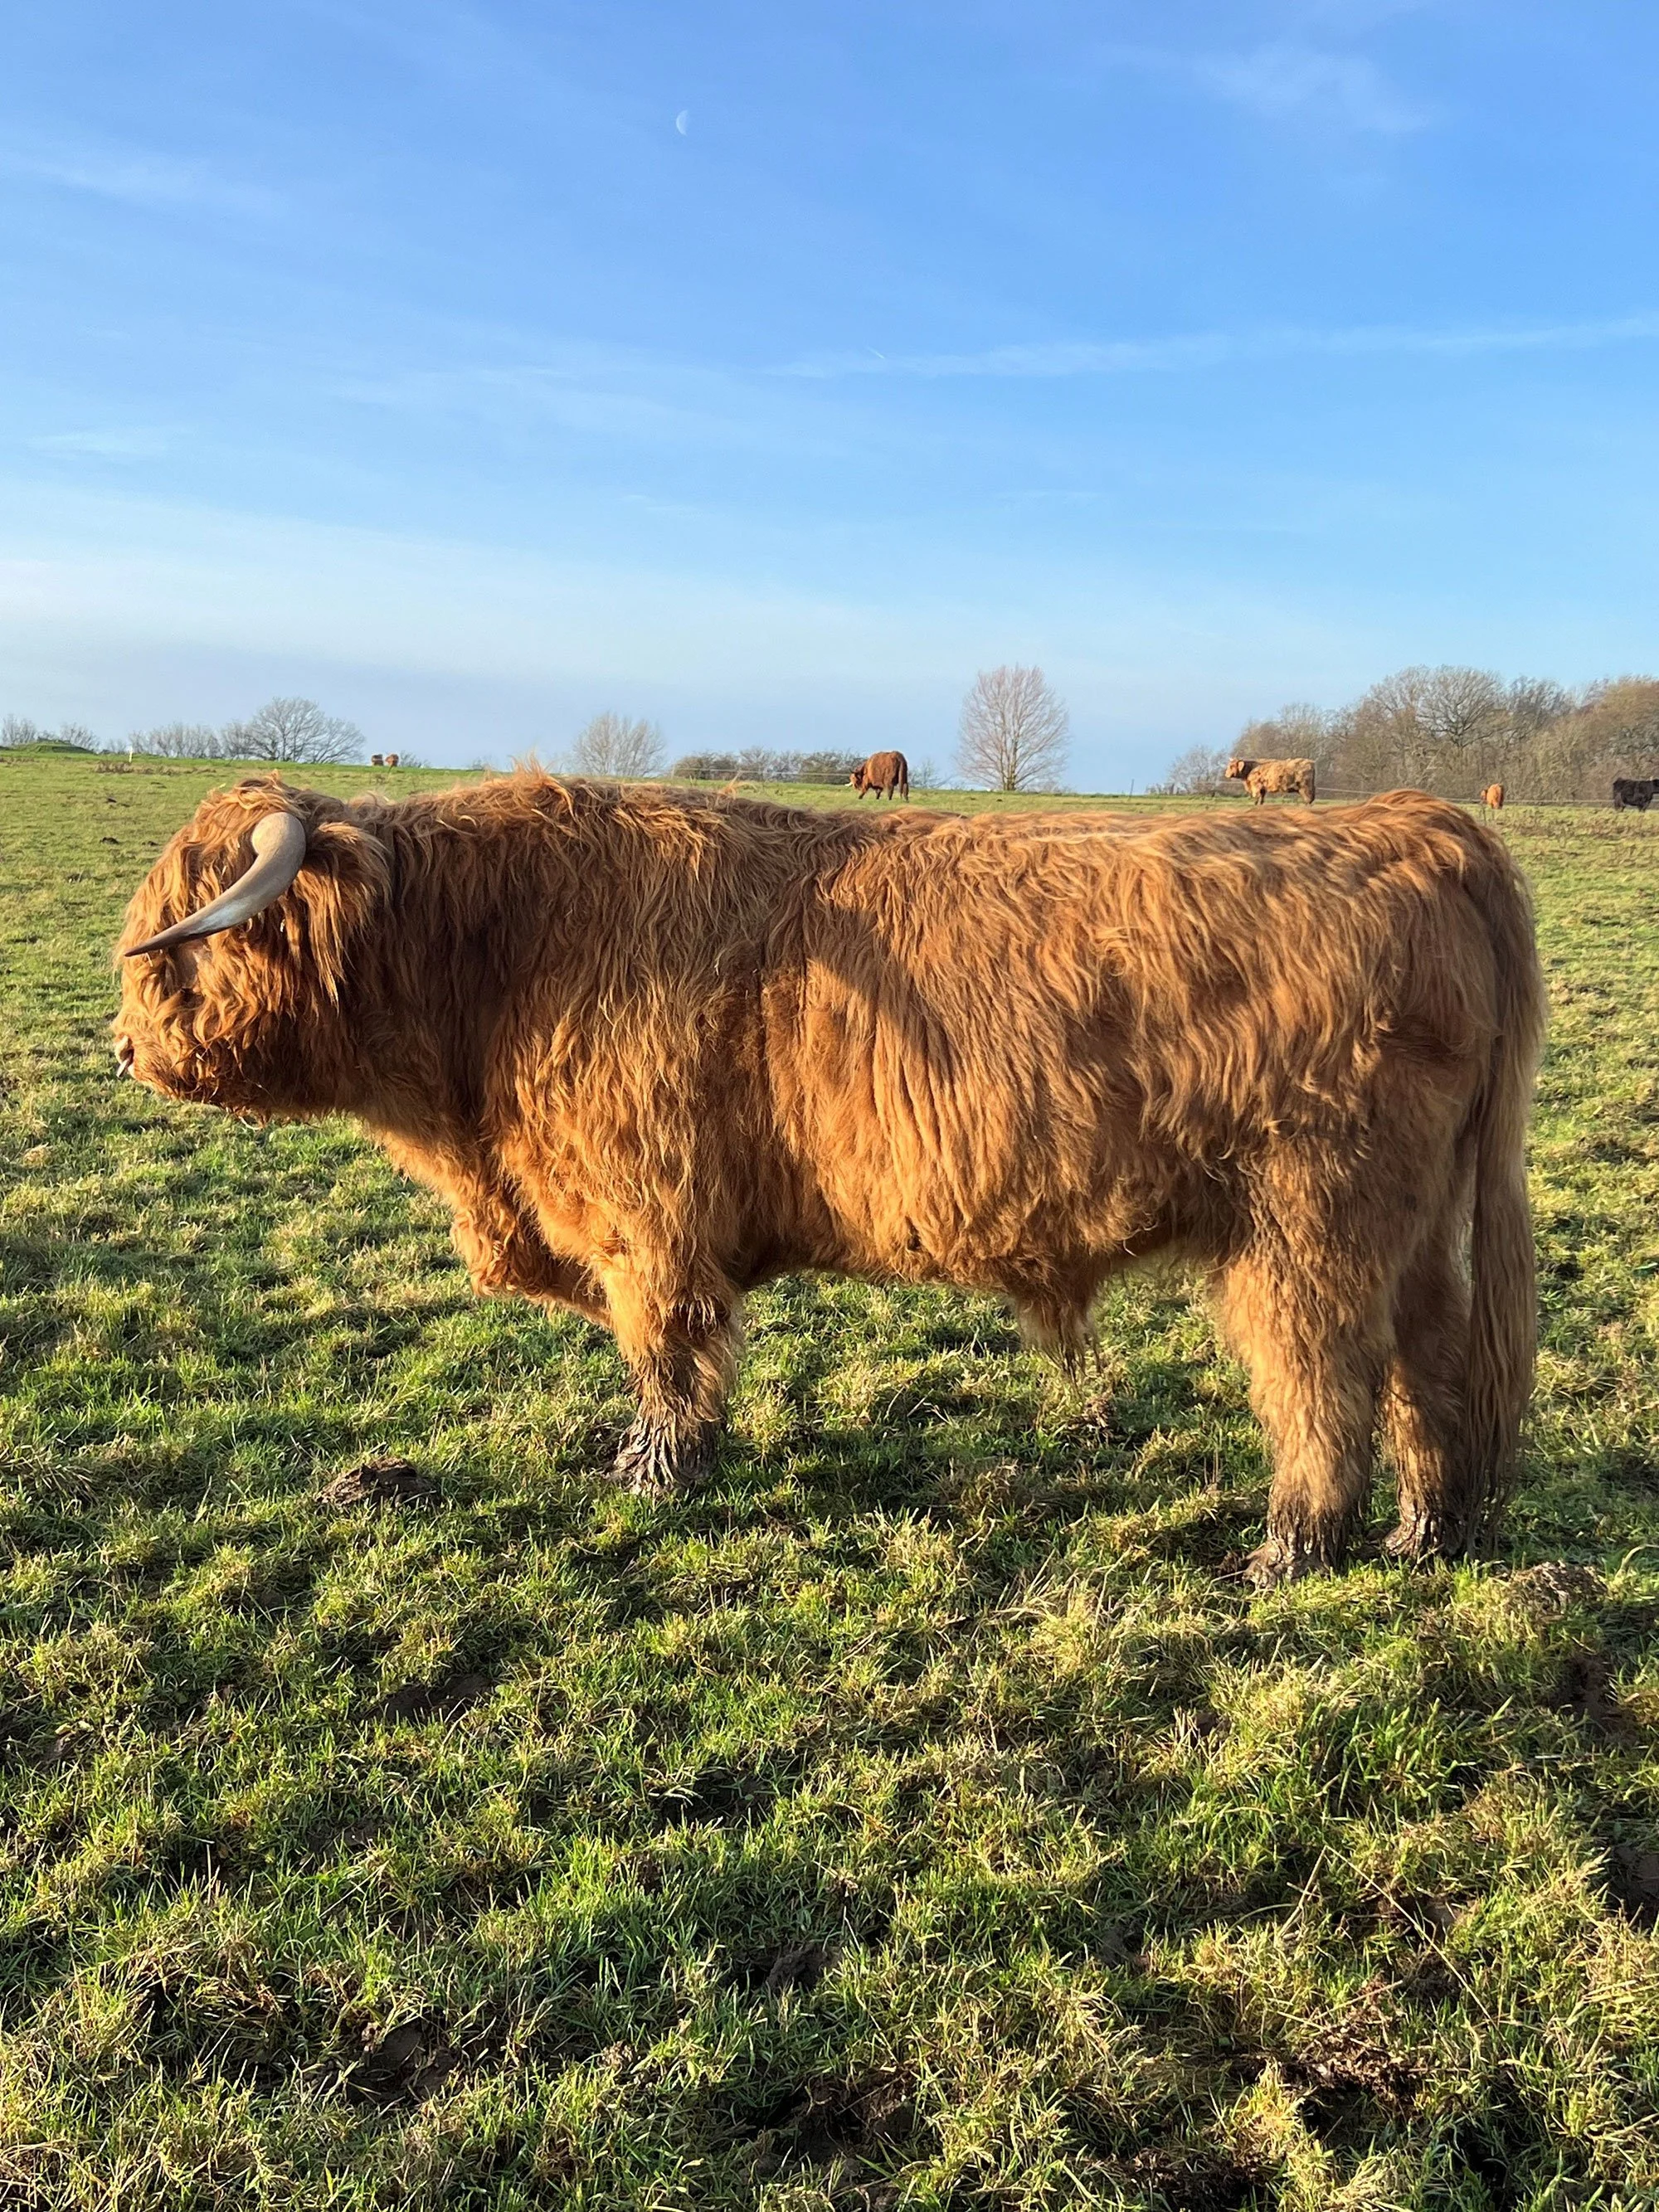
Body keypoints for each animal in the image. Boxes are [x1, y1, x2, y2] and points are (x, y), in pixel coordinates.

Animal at [114, 774, 1543, 1585]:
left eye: (194, 938)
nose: (121, 1046)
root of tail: (1412, 824)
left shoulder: (653, 1217)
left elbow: (665, 1355)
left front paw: (651, 1476)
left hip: (1313, 1215)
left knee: (1324, 1374)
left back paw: (1292, 1547)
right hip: (1417, 1222)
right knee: (1429, 1365)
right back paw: (1429, 1531)